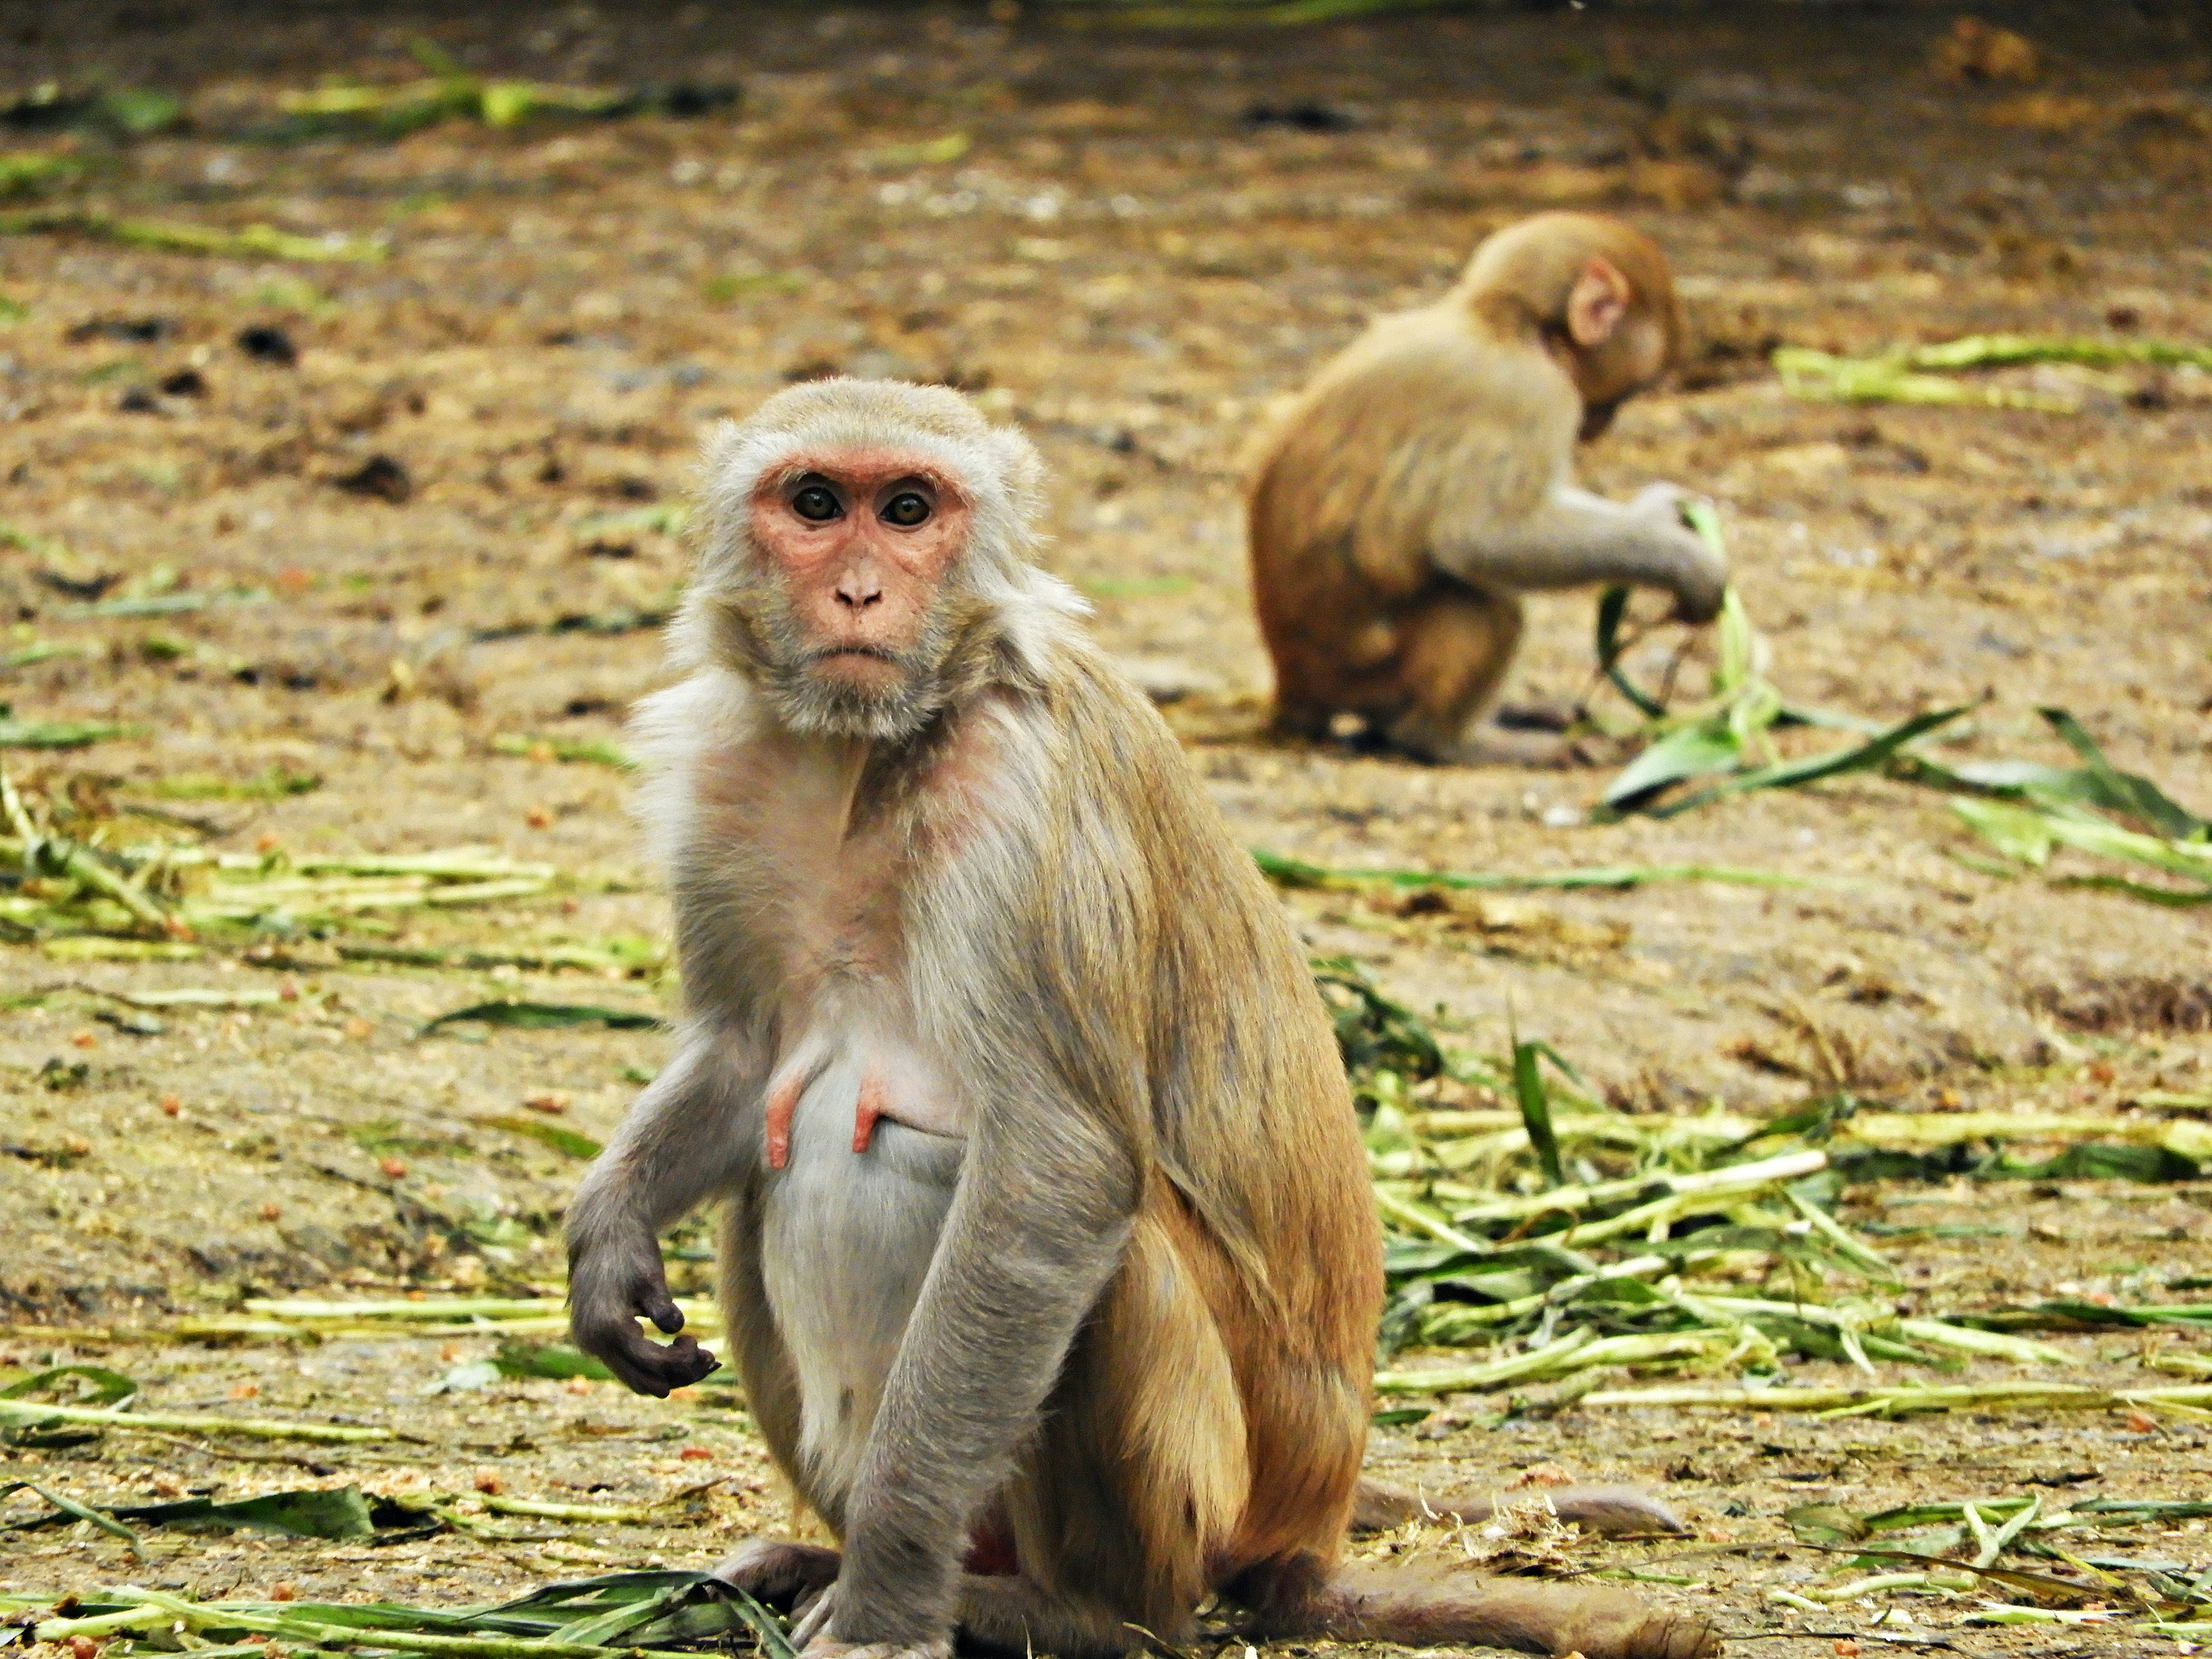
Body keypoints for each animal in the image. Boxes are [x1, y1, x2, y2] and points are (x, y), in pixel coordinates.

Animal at [565, 377, 1717, 1659]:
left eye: (909, 509)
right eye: (814, 504)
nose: (857, 591)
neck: (878, 749)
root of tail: (1313, 1526)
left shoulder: (1021, 810)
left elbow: (1057, 1170)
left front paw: (886, 1597)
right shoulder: (723, 769)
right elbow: (744, 1059)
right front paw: (606, 1242)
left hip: (1222, 1494)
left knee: (1092, 1252)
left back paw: (1073, 1611)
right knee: (772, 1158)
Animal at [1247, 210, 1727, 765]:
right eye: (1635, 390)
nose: (1600, 426)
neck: (1503, 324)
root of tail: (1293, 687)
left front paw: (1657, 514)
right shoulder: (1533, 395)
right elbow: (1483, 539)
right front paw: (1687, 563)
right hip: (1369, 678)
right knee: (1479, 599)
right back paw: (1446, 739)